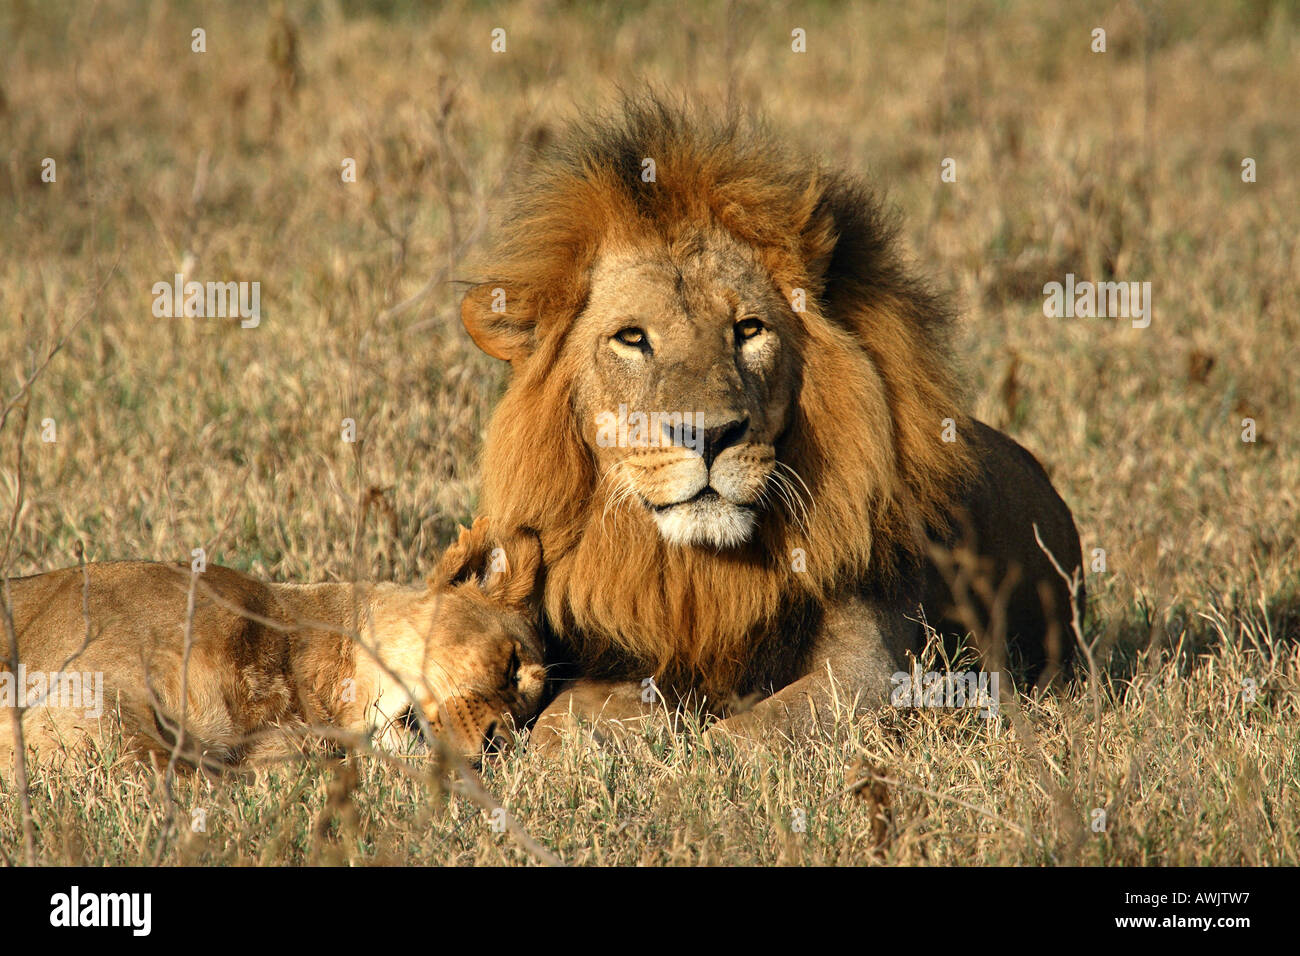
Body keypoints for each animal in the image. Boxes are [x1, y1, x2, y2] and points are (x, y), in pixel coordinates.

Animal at [459, 97, 1085, 747]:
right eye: (632, 338)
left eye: (749, 329)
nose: (708, 434)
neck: (702, 572)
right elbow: (557, 725)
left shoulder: (869, 668)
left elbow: (751, 733)